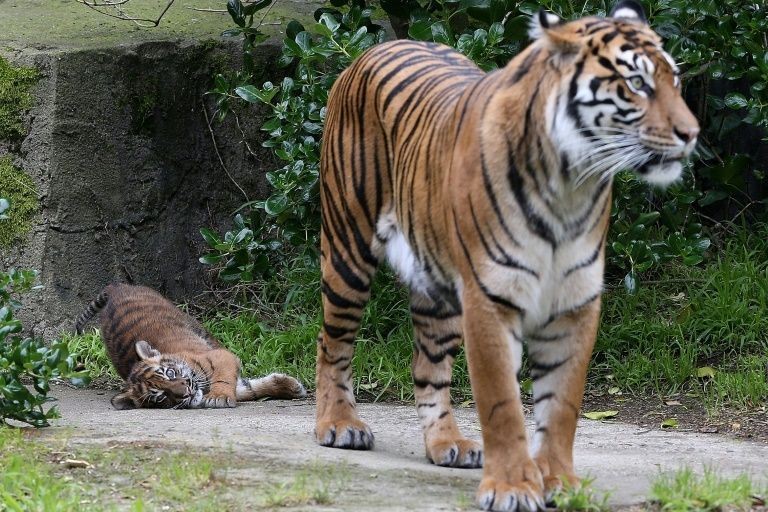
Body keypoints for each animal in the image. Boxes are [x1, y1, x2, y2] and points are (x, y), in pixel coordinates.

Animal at [75, 283, 307, 410]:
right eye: (160, 396)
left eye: (169, 373)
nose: (185, 392)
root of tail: (115, 288)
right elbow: (249, 388)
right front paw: (290, 386)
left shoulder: (221, 357)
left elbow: (225, 379)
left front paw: (219, 397)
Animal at [315, 1, 698, 510]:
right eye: (637, 83)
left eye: (674, 80)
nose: (691, 133)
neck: (570, 186)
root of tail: (378, 47)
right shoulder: (490, 298)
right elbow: (503, 404)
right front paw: (513, 486)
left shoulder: (575, 304)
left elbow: (562, 404)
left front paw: (559, 482)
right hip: (347, 250)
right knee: (332, 341)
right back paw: (339, 424)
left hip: (437, 290)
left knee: (427, 365)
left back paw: (447, 443)